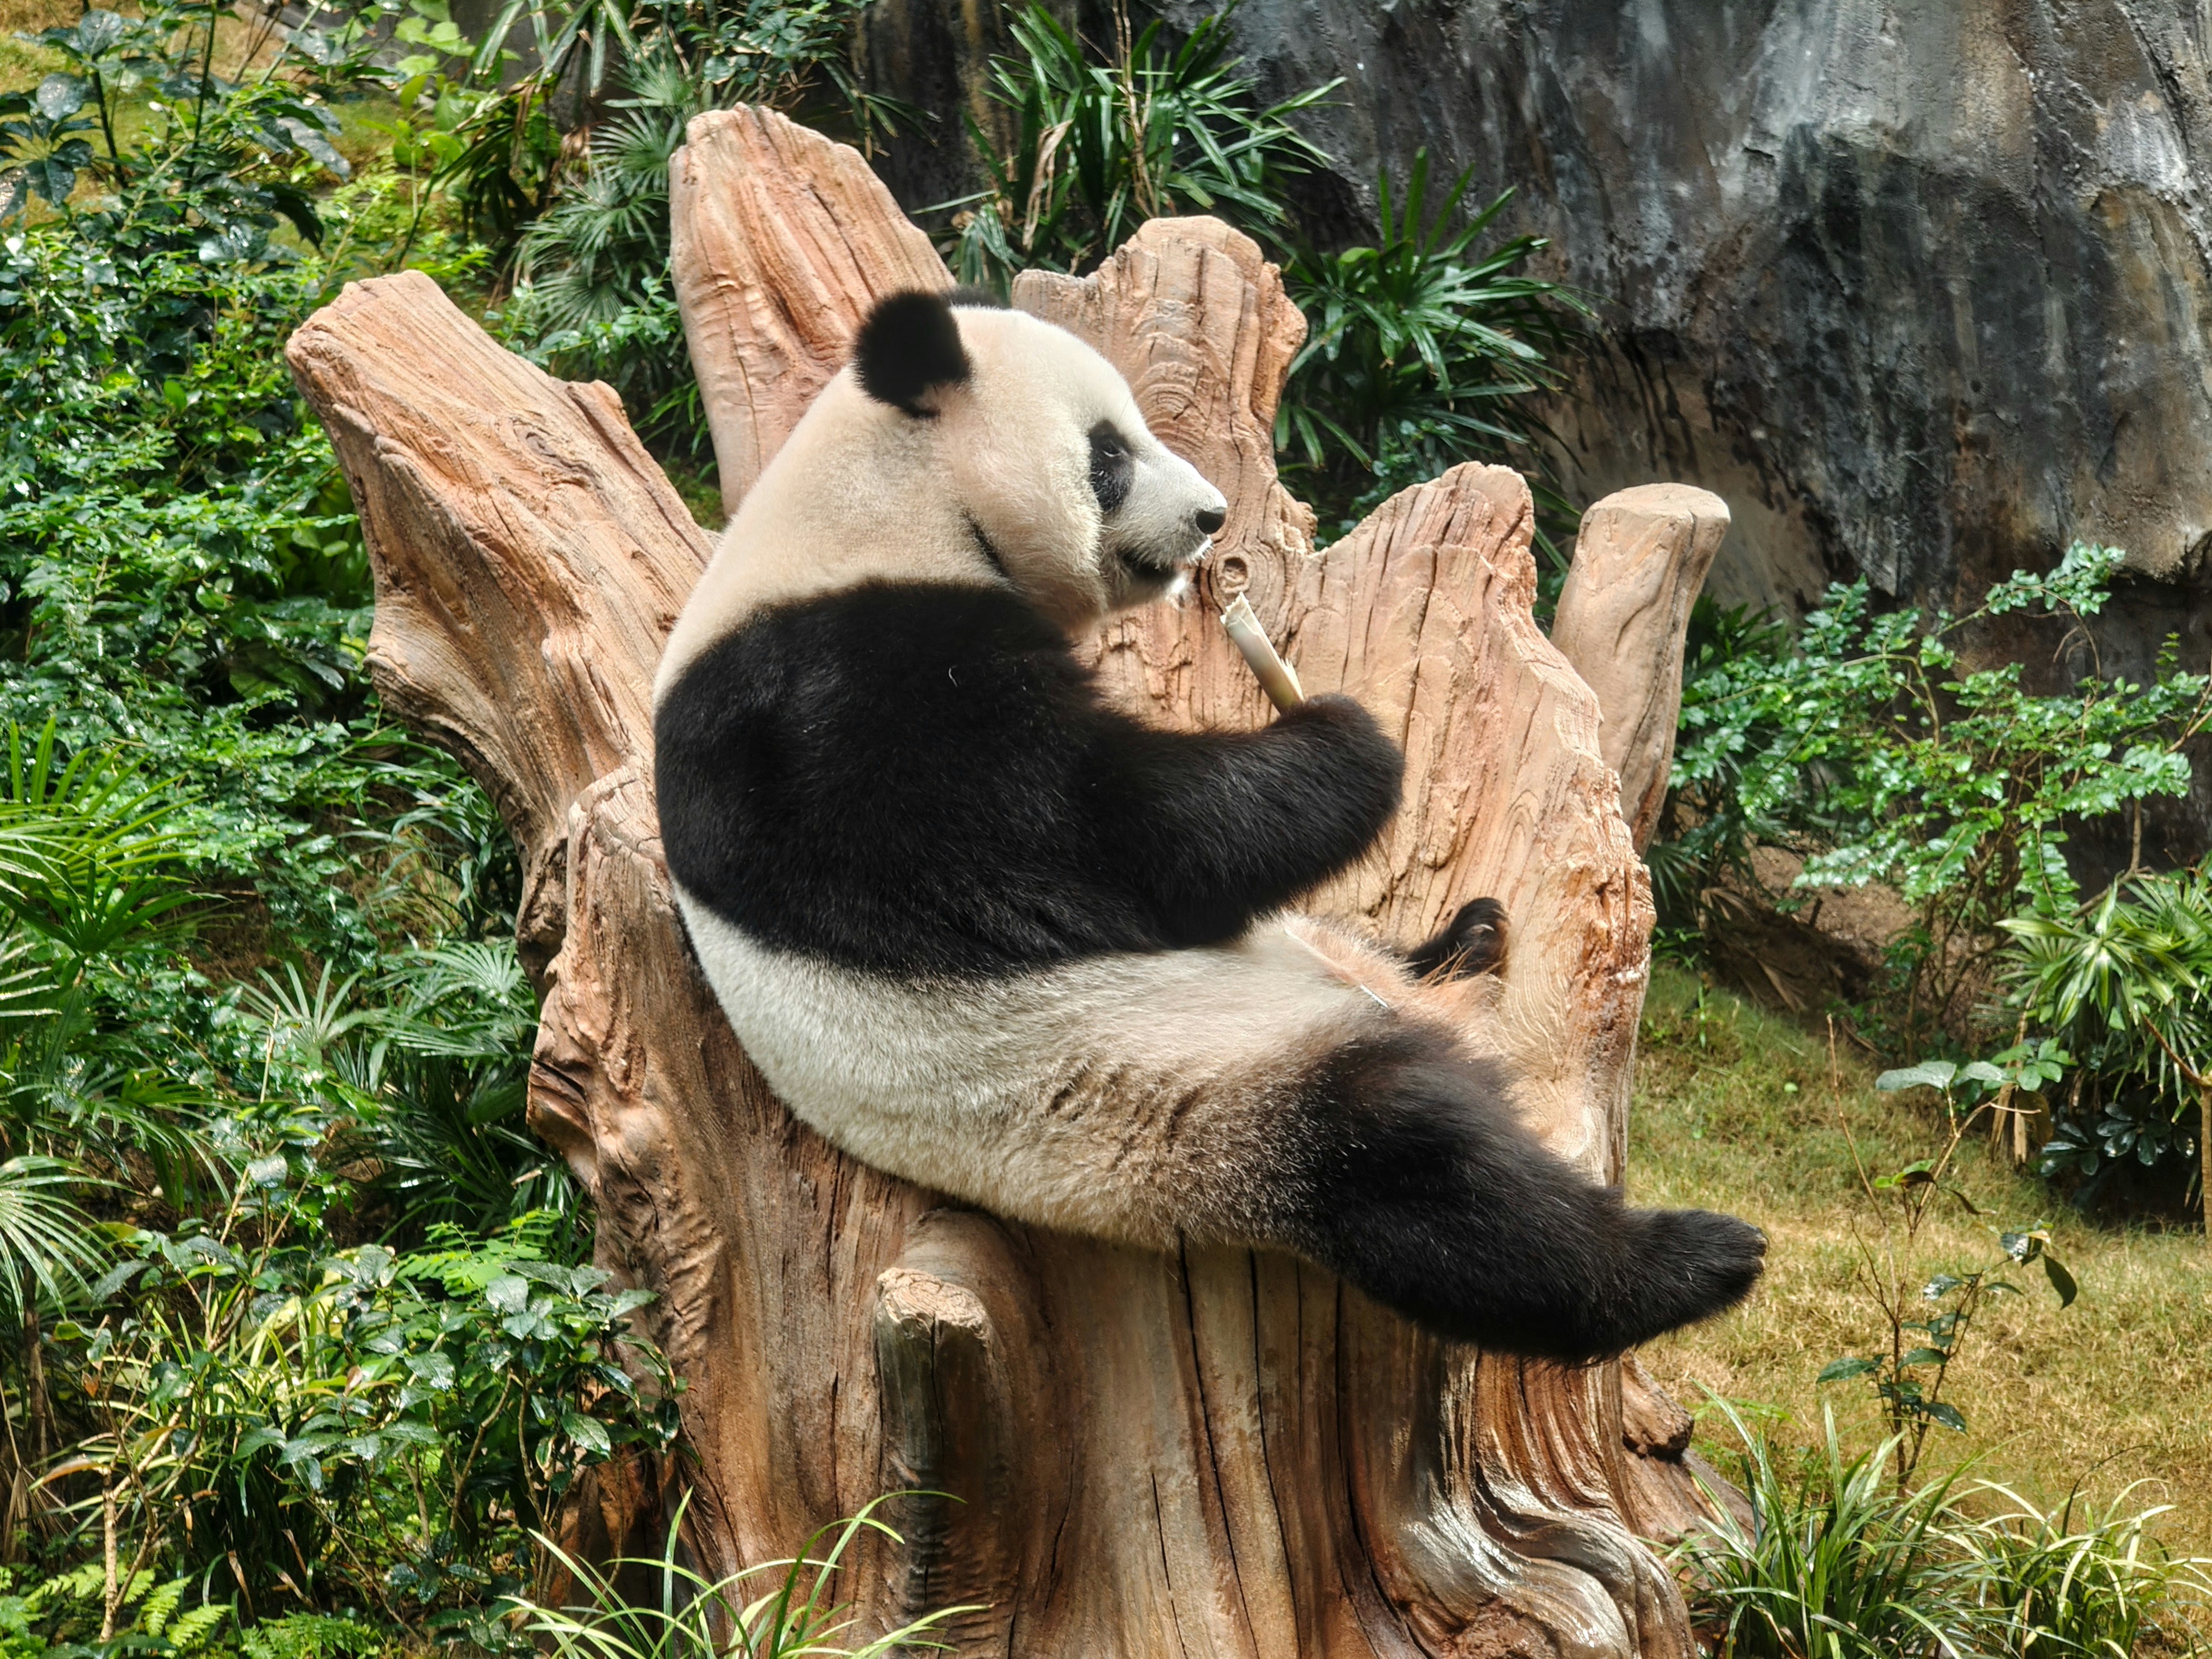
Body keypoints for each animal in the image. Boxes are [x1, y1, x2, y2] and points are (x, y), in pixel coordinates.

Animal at [652, 288, 1765, 1361]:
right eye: (1108, 454)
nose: (1209, 513)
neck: (882, 505)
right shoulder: (835, 700)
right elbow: (1104, 838)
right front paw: (1348, 740)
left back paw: (1465, 940)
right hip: (1199, 1099)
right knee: (1417, 1166)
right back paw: (1692, 1257)